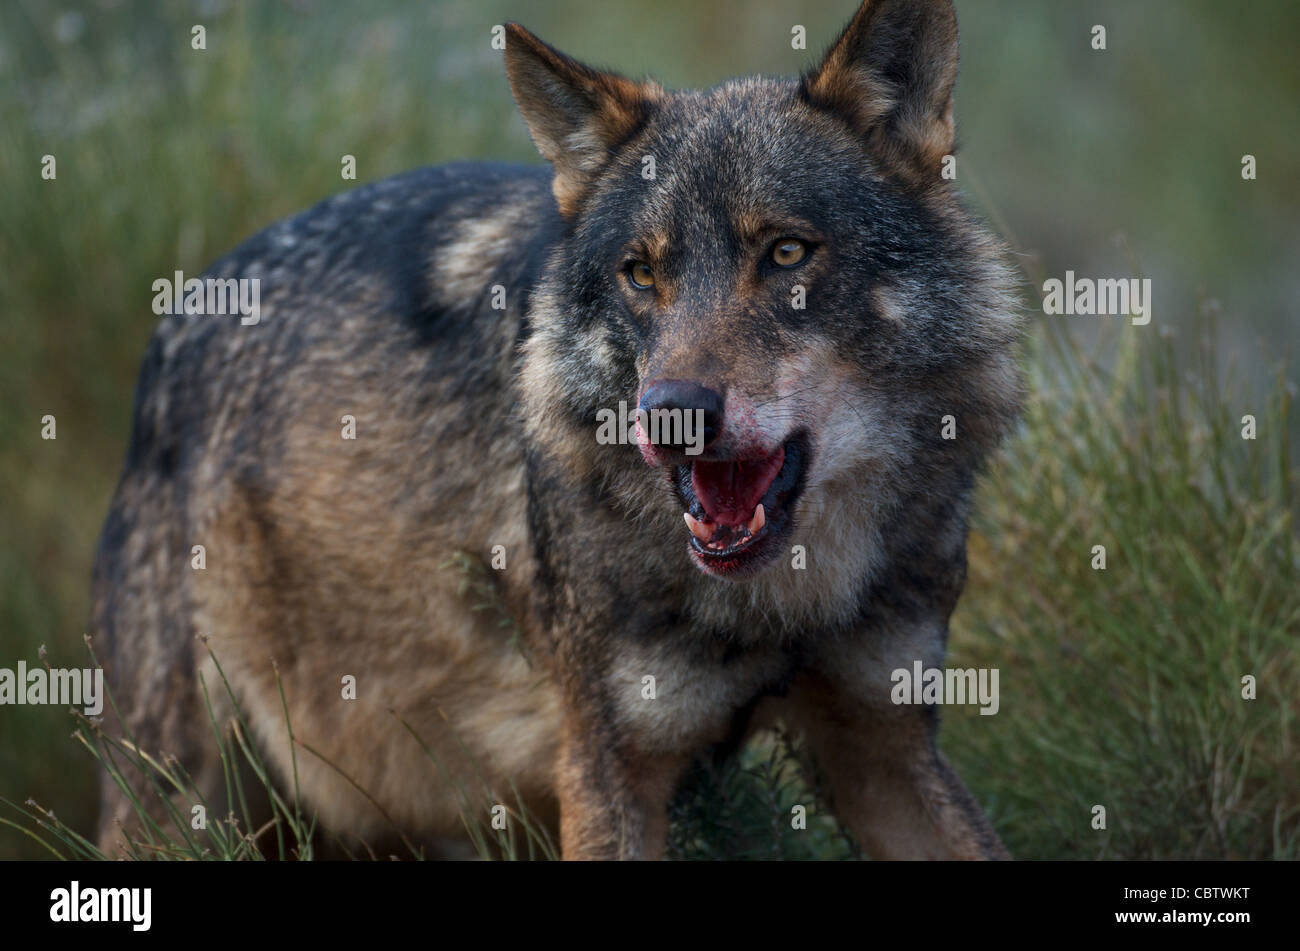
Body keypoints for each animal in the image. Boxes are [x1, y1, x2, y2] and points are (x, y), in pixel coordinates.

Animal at [93, 0, 1022, 860]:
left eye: (787, 254)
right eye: (640, 273)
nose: (671, 414)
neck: (787, 603)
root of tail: (183, 316)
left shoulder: (885, 748)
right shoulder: (607, 765)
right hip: (184, 790)